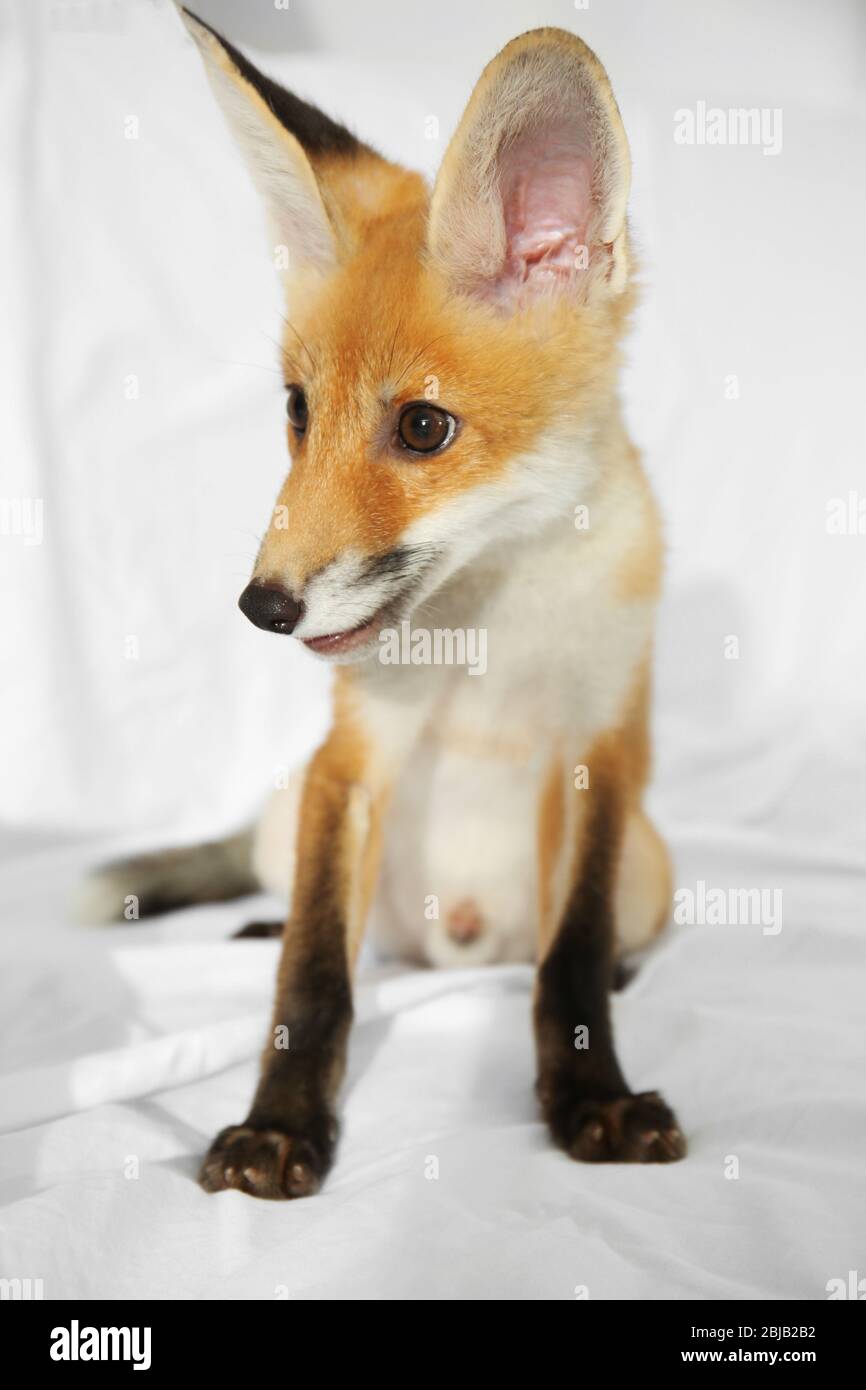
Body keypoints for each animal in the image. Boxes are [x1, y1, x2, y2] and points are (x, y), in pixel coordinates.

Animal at [82, 7, 687, 1197]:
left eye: (421, 428)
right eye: (296, 411)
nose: (261, 606)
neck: (489, 629)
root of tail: (448, 946)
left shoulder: (601, 747)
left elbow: (571, 963)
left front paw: (590, 1100)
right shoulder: (352, 758)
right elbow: (315, 974)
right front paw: (280, 1125)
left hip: (653, 864)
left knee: (588, 945)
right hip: (290, 810)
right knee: (321, 924)